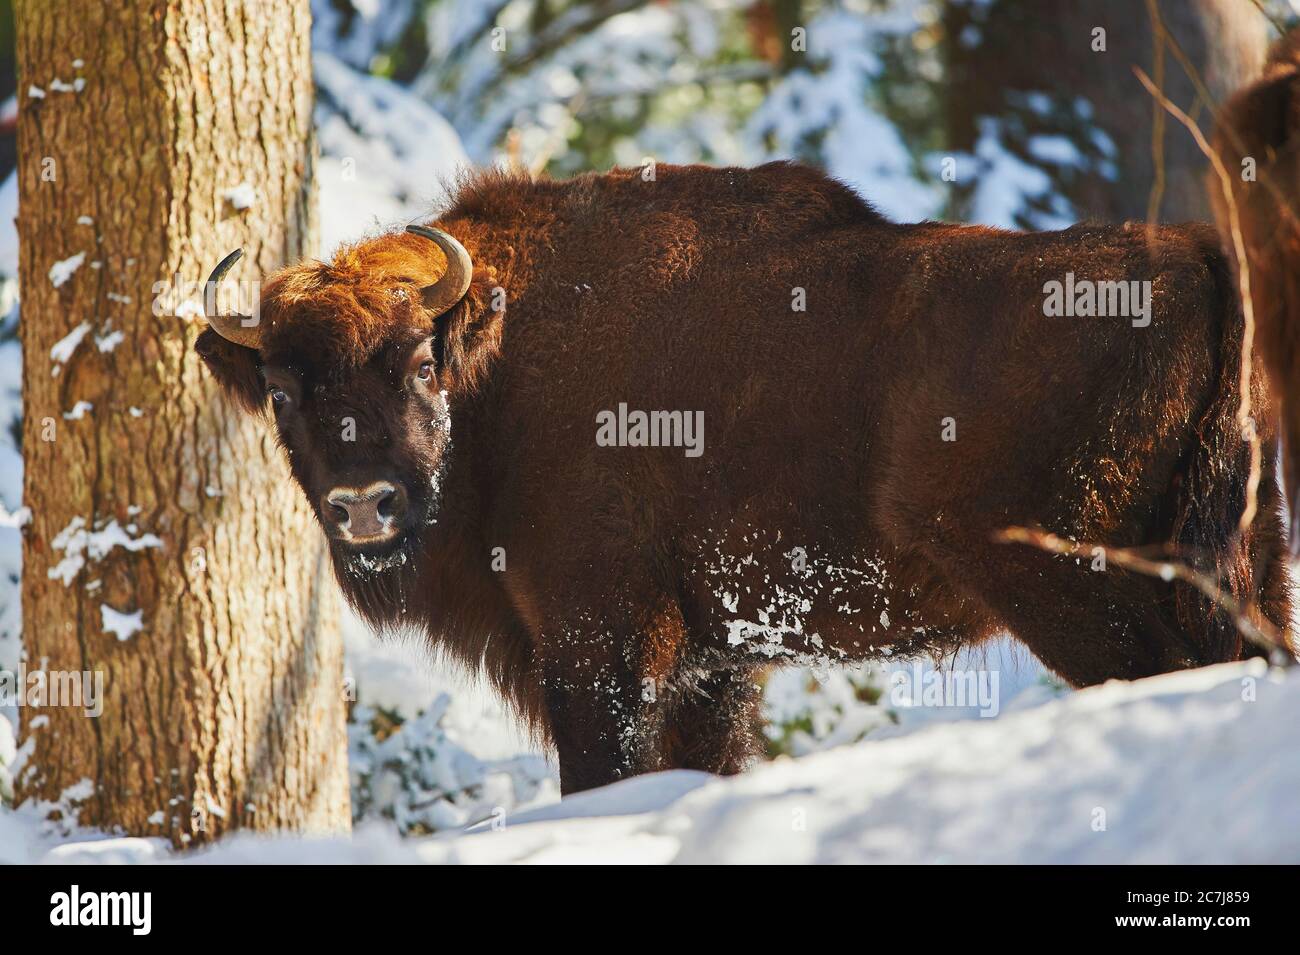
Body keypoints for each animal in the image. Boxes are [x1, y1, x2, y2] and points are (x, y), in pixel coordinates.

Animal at [197, 159, 1291, 794]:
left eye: (420, 365)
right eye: (282, 391)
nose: (364, 505)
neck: (499, 358)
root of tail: (1193, 256)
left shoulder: (599, 646)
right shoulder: (715, 663)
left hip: (1076, 584)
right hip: (1241, 556)